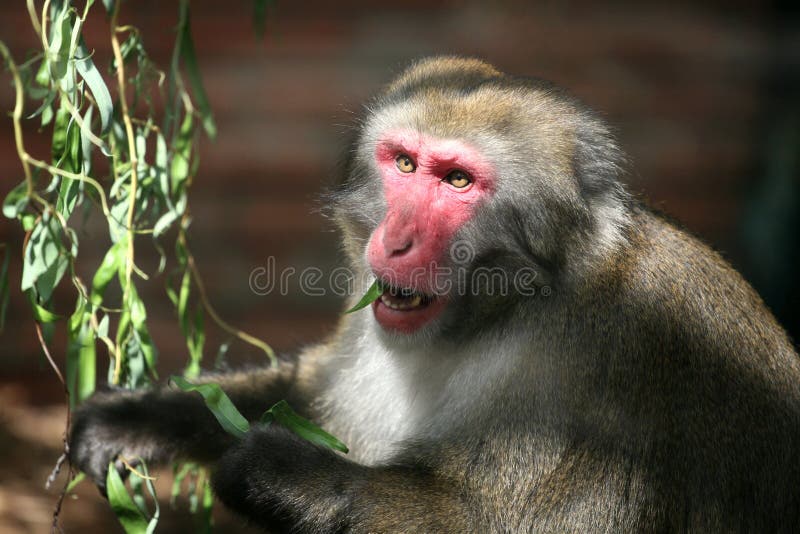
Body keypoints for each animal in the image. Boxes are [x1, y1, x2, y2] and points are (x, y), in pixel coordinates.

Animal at [69, 56, 800, 532]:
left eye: (456, 181)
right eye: (404, 164)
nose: (395, 241)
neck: (506, 313)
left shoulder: (605, 366)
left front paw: (269, 469)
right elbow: (308, 395)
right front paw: (141, 419)